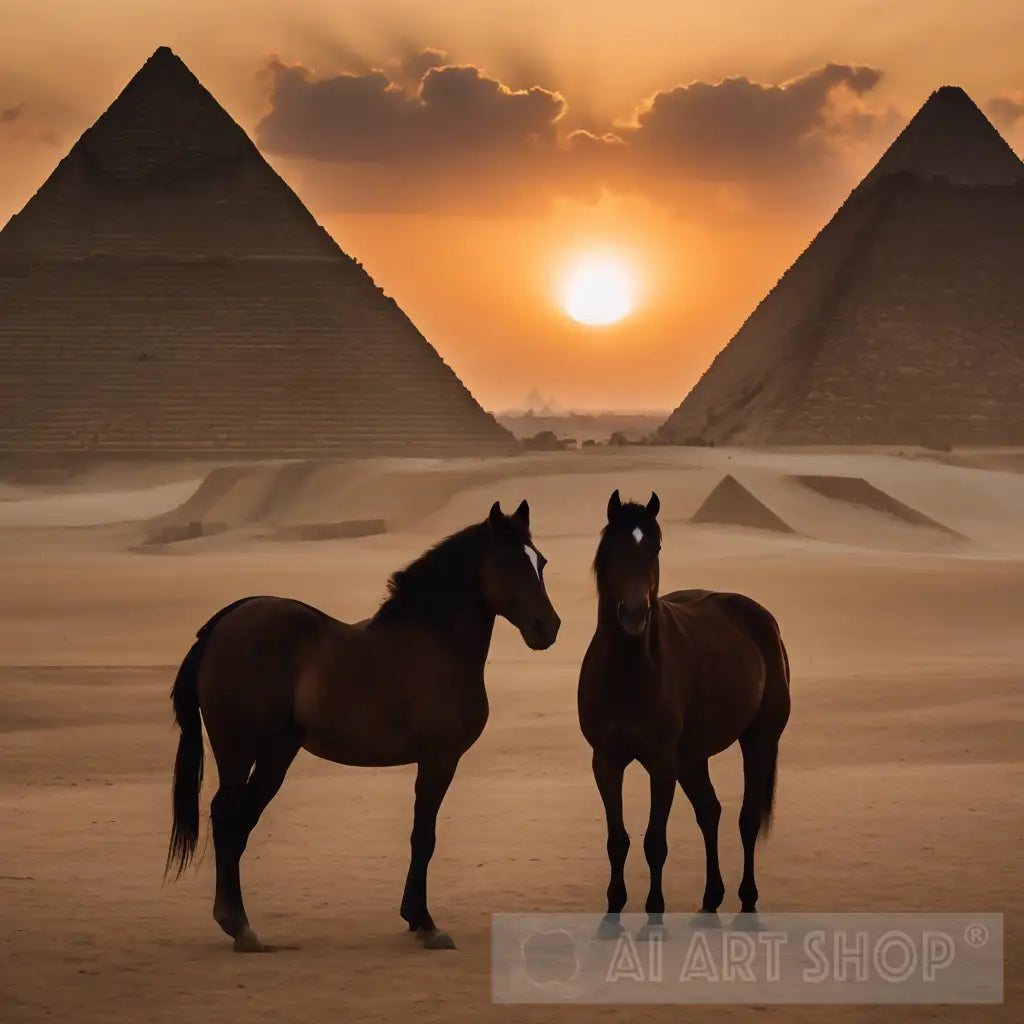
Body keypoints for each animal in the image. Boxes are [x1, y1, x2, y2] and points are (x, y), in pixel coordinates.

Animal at [164, 498, 560, 953]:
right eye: (505, 562)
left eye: (540, 561)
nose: (548, 627)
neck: (435, 641)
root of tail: (221, 628)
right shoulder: (439, 760)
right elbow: (424, 837)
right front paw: (426, 922)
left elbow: (421, 835)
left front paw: (414, 917)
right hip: (238, 750)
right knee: (227, 816)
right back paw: (239, 925)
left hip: (276, 753)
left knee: (239, 821)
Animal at [577, 489, 791, 935]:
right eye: (613, 548)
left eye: (655, 547)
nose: (634, 615)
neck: (628, 672)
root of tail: (764, 619)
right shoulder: (605, 761)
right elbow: (617, 839)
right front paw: (614, 906)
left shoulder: (661, 763)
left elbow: (654, 840)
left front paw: (654, 909)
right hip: (692, 758)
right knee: (710, 812)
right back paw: (711, 897)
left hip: (759, 740)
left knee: (746, 819)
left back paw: (747, 897)